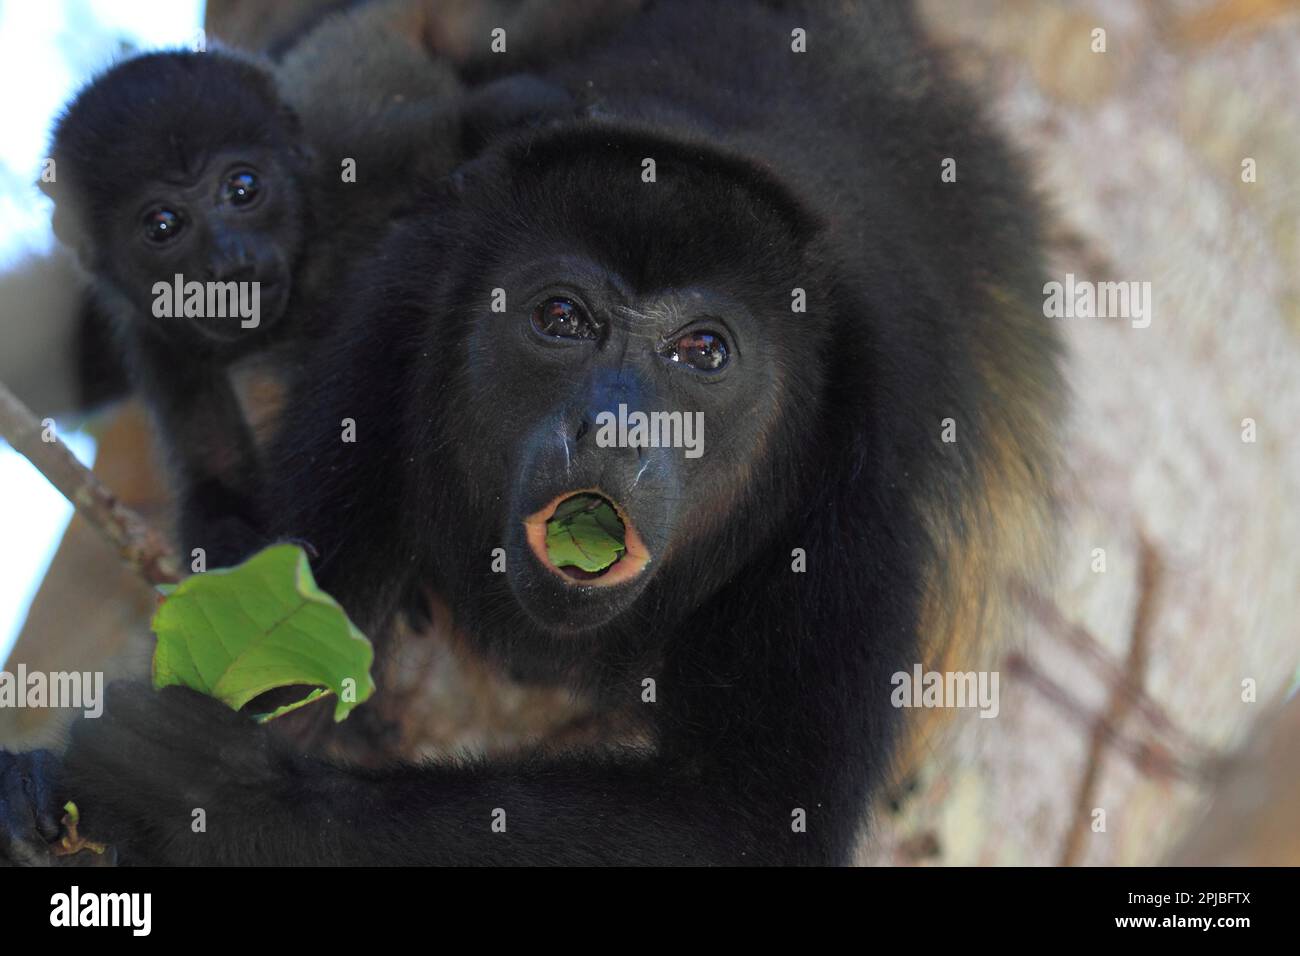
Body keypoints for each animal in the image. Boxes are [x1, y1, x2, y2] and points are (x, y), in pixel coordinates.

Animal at [1, 0, 1061, 865]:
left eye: (704, 350)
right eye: (560, 319)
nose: (621, 424)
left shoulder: (869, 452)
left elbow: (745, 825)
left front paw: (217, 799)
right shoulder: (396, 318)